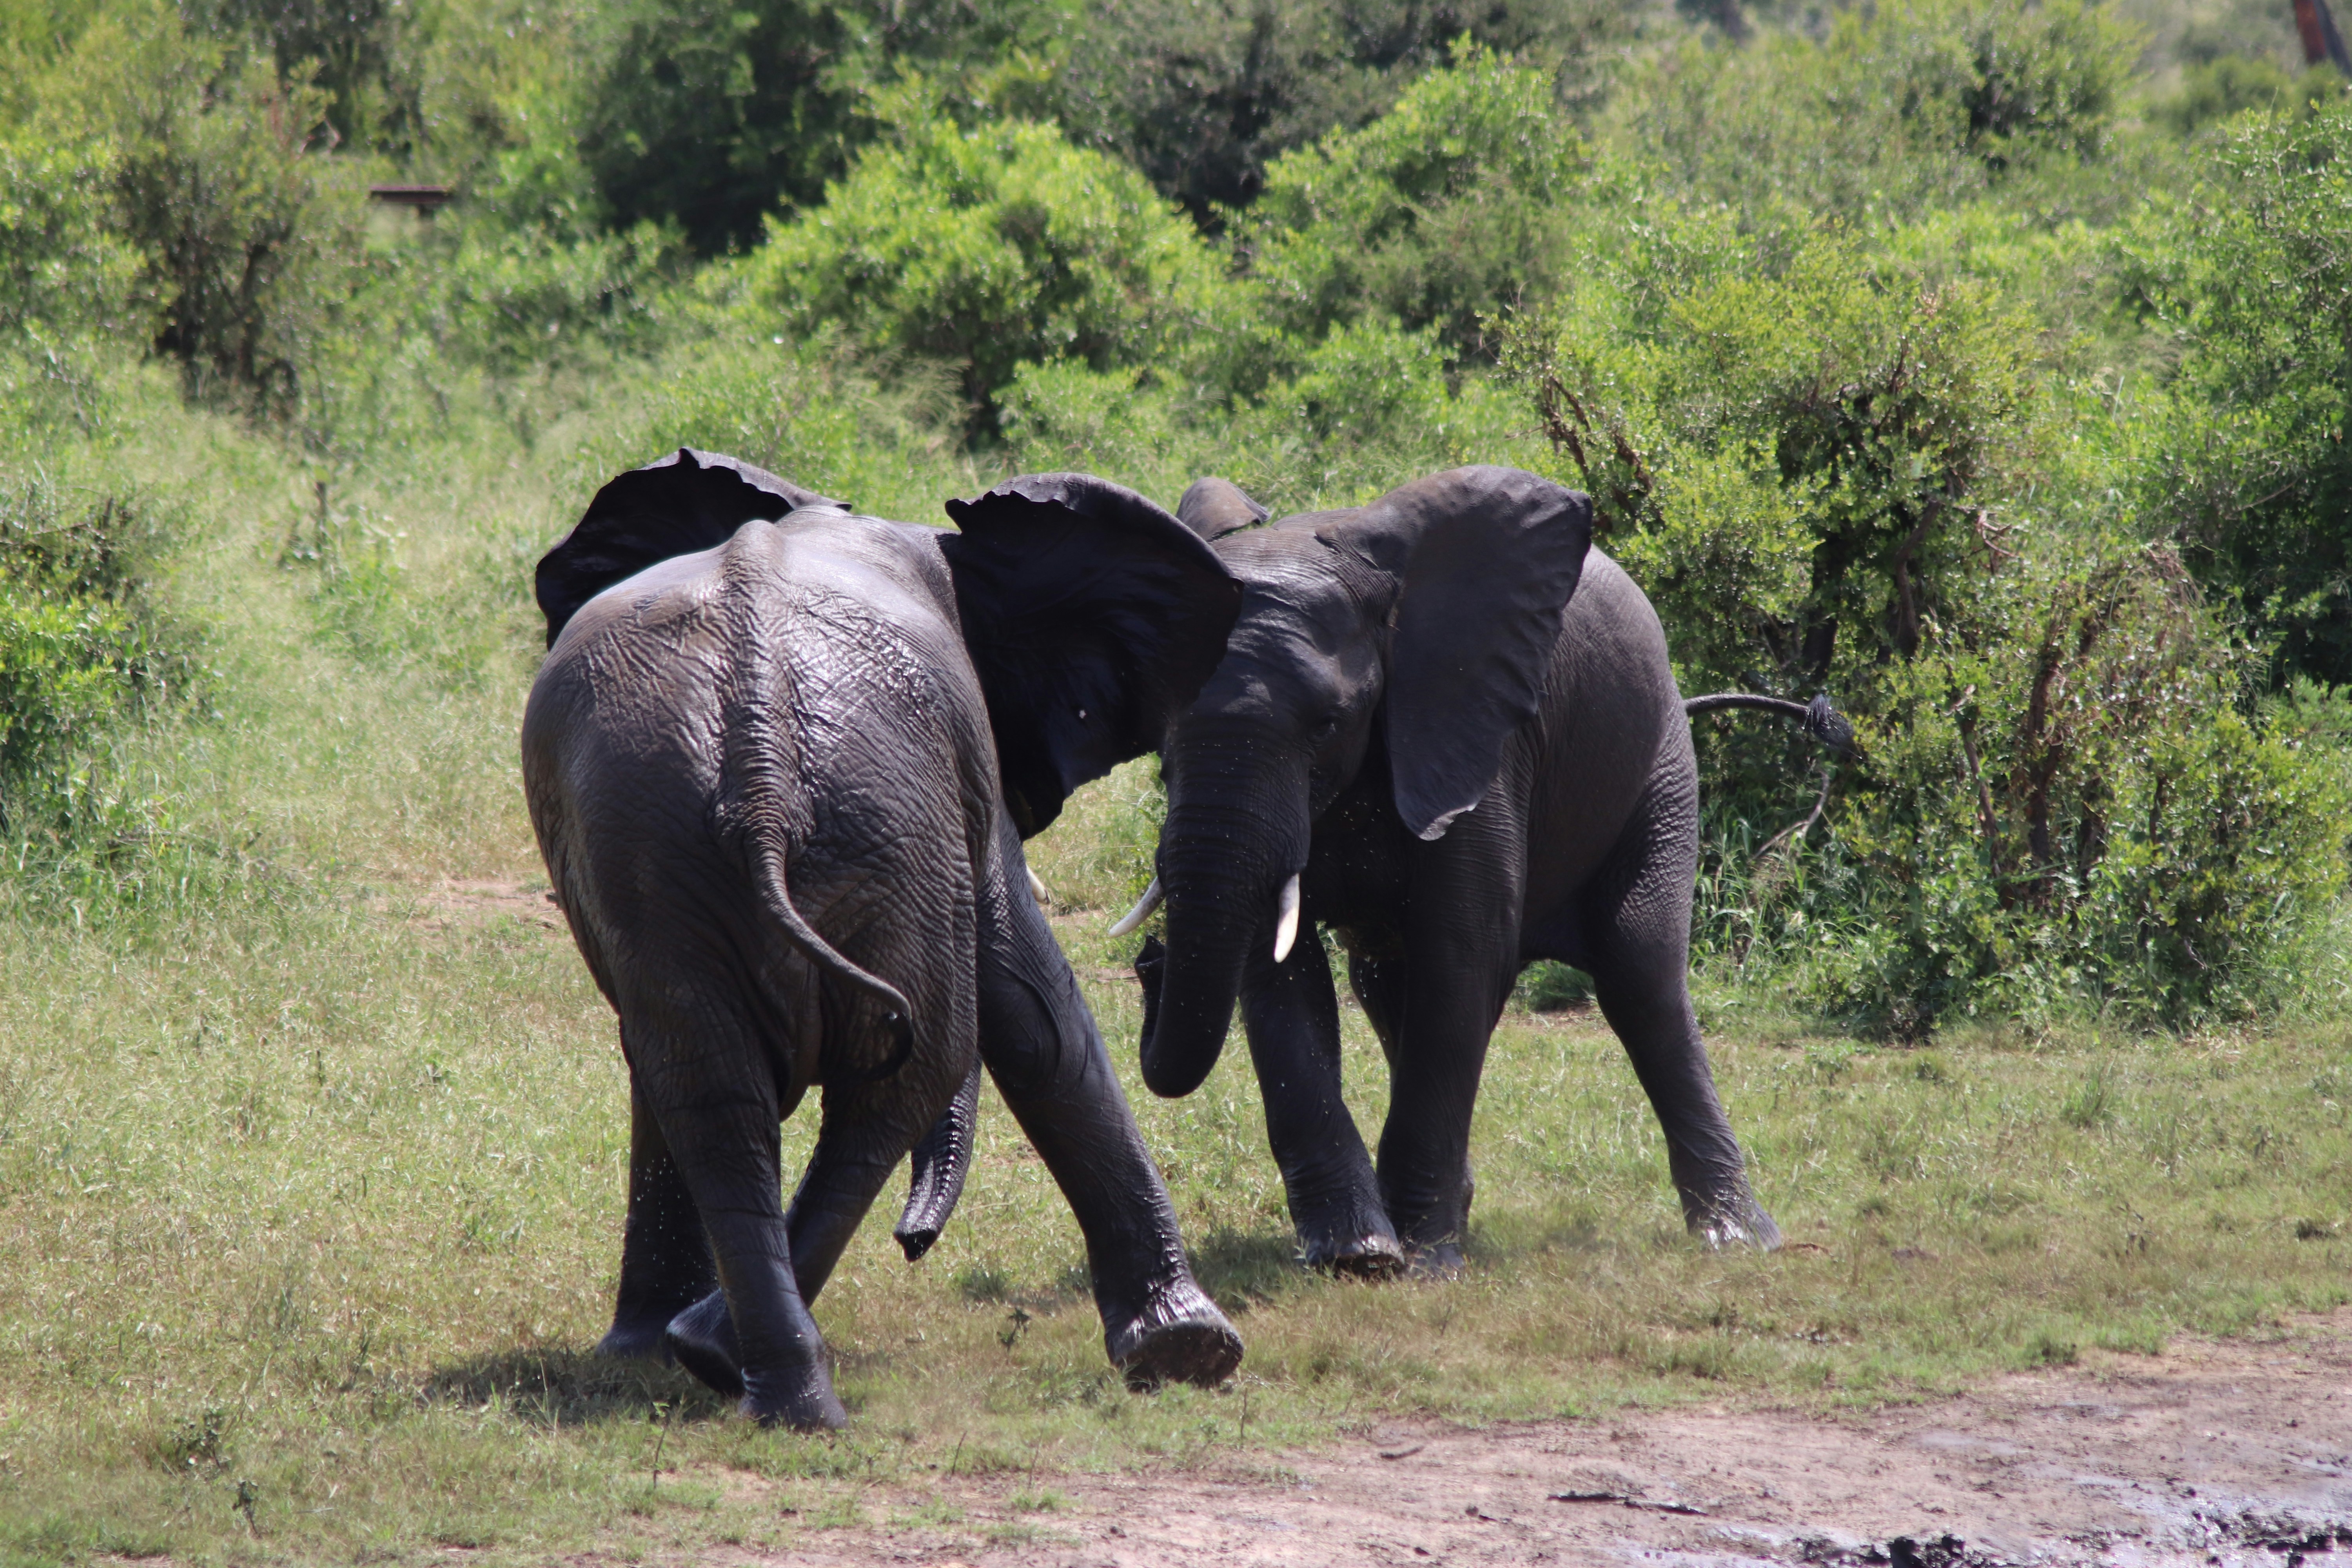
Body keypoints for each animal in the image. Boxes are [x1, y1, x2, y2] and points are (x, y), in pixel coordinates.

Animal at [521, 449, 1247, 1426]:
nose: (915, 1243)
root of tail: (758, 769)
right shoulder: (968, 779)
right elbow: (1035, 1005)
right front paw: (1192, 1353)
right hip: (876, 823)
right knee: (911, 1069)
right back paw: (741, 1367)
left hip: (663, 831)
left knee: (712, 1088)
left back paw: (742, 1375)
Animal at [1060, 464, 1791, 1277]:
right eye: (1161, 732)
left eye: (1328, 723)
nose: (1149, 961)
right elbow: (1282, 974)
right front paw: (1355, 1254)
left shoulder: (1474, 731)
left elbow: (1463, 952)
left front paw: (1421, 1263)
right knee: (1387, 987)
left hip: (1658, 761)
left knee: (1639, 971)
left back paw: (1738, 1237)